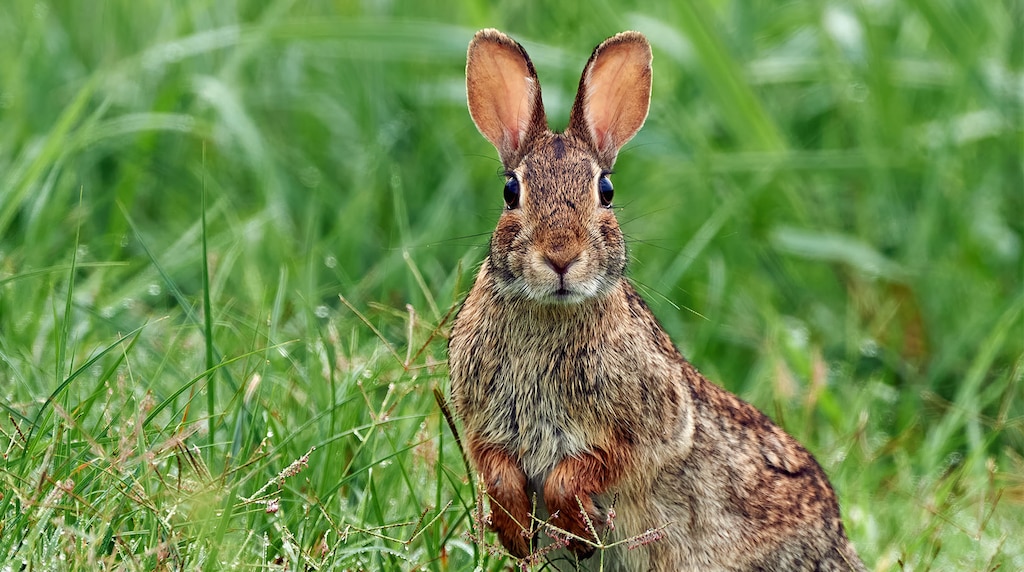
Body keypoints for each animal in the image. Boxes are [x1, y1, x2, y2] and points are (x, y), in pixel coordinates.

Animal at [448, 28, 867, 571]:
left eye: (606, 190)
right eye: (510, 191)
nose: (561, 256)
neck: (550, 311)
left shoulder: (650, 430)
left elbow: (587, 469)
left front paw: (574, 529)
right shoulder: (484, 427)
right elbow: (496, 469)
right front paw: (516, 533)